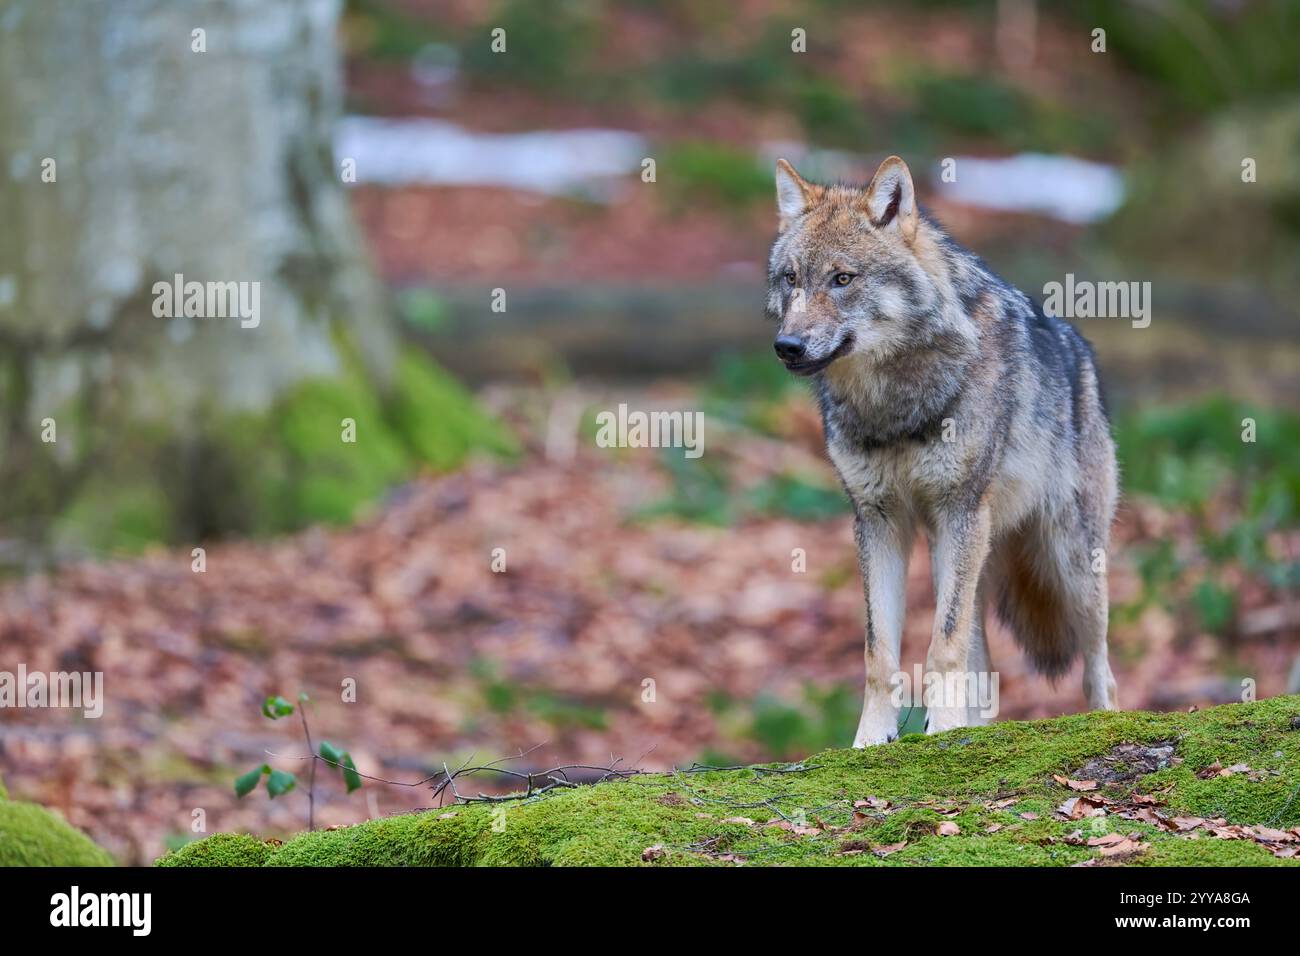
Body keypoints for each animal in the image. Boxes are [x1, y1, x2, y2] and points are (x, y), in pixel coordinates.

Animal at [767, 155, 1119, 746]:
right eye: (791, 279)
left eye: (843, 279)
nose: (786, 347)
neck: (892, 403)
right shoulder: (877, 519)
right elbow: (879, 653)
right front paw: (871, 740)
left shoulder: (960, 508)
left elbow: (941, 647)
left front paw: (940, 732)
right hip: (957, 554)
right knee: (985, 665)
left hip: (1065, 564)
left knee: (1099, 665)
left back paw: (1104, 722)